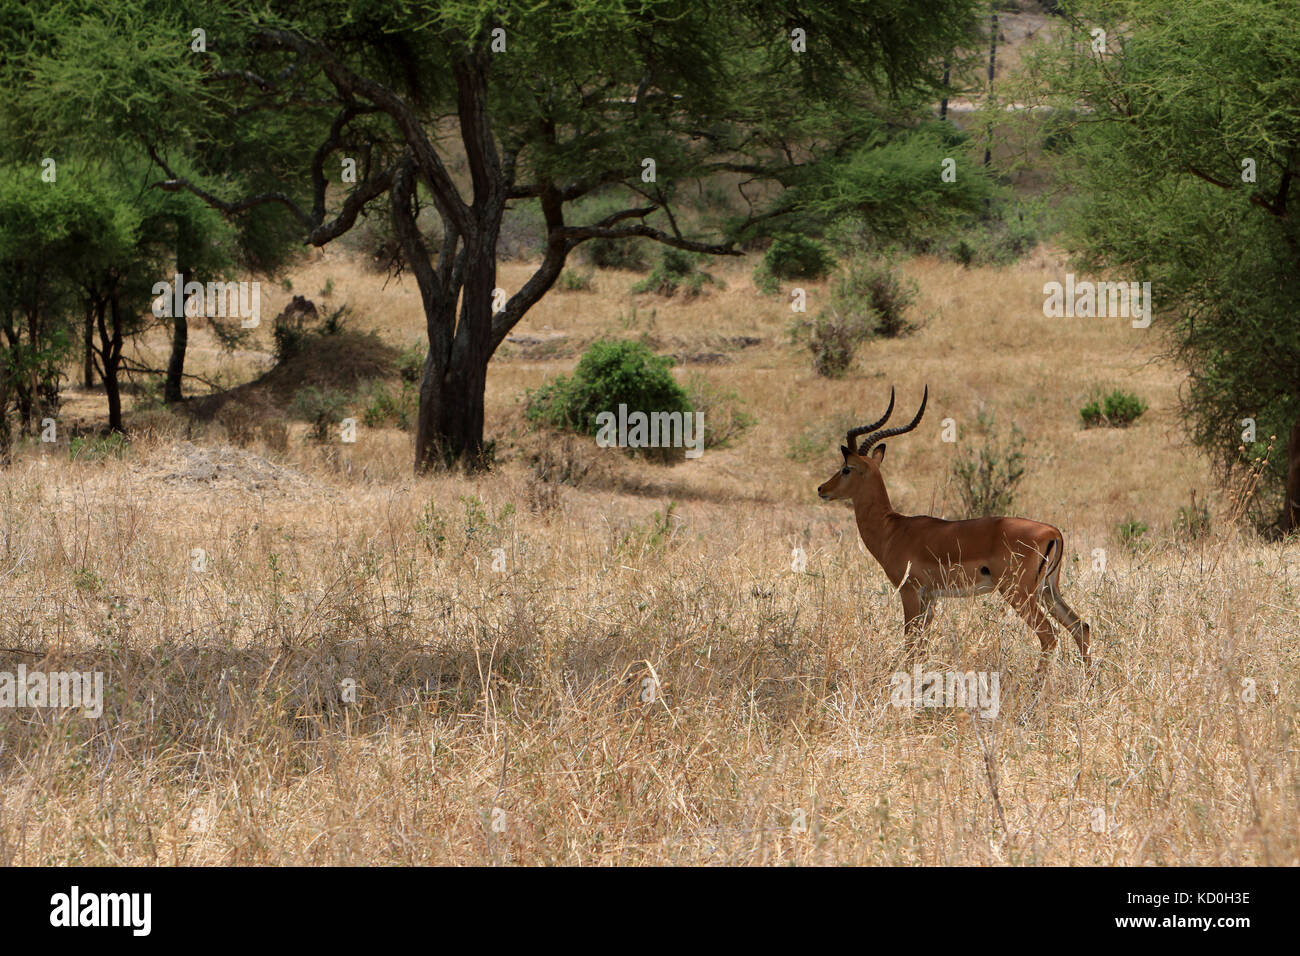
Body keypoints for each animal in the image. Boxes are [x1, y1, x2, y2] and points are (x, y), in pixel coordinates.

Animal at [818, 386, 1090, 673]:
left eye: (846, 469)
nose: (822, 488)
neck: (893, 529)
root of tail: (1053, 532)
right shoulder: (930, 597)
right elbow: (921, 644)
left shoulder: (910, 592)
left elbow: (910, 642)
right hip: (1048, 590)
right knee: (1080, 626)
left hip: (1019, 593)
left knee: (1050, 635)